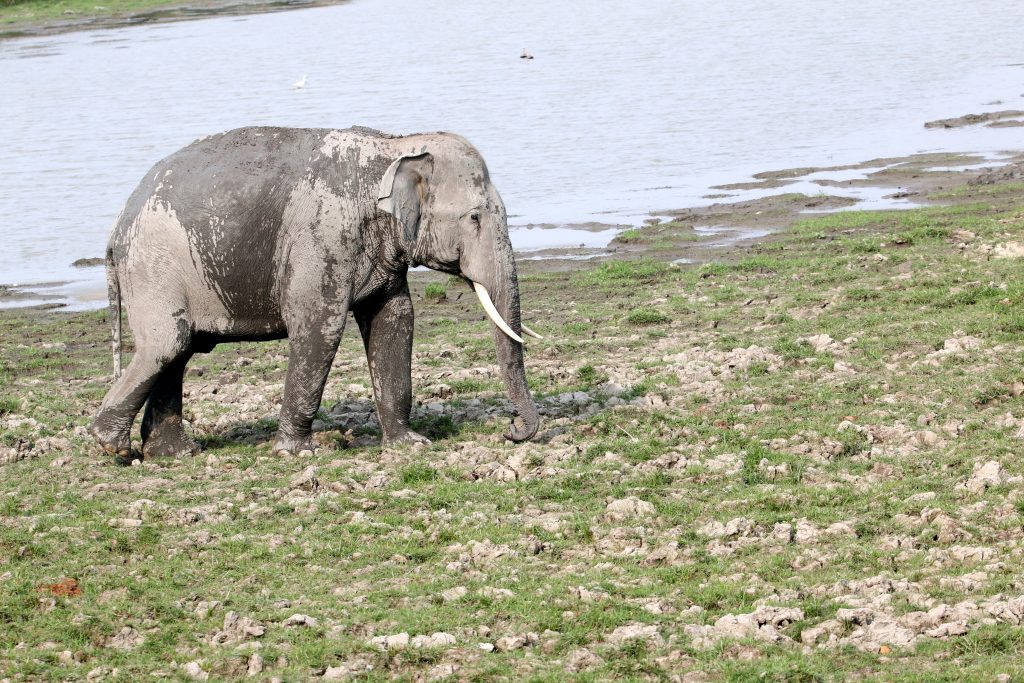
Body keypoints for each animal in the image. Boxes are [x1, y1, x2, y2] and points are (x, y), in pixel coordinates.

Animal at [89, 126, 542, 460]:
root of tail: (115, 228)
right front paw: (297, 453)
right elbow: (318, 328)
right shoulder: (321, 237)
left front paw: (409, 446)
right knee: (168, 344)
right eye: (474, 217)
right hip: (155, 266)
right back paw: (112, 446)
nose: (511, 430)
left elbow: (394, 321)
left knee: (179, 351)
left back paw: (174, 454)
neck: (393, 147)